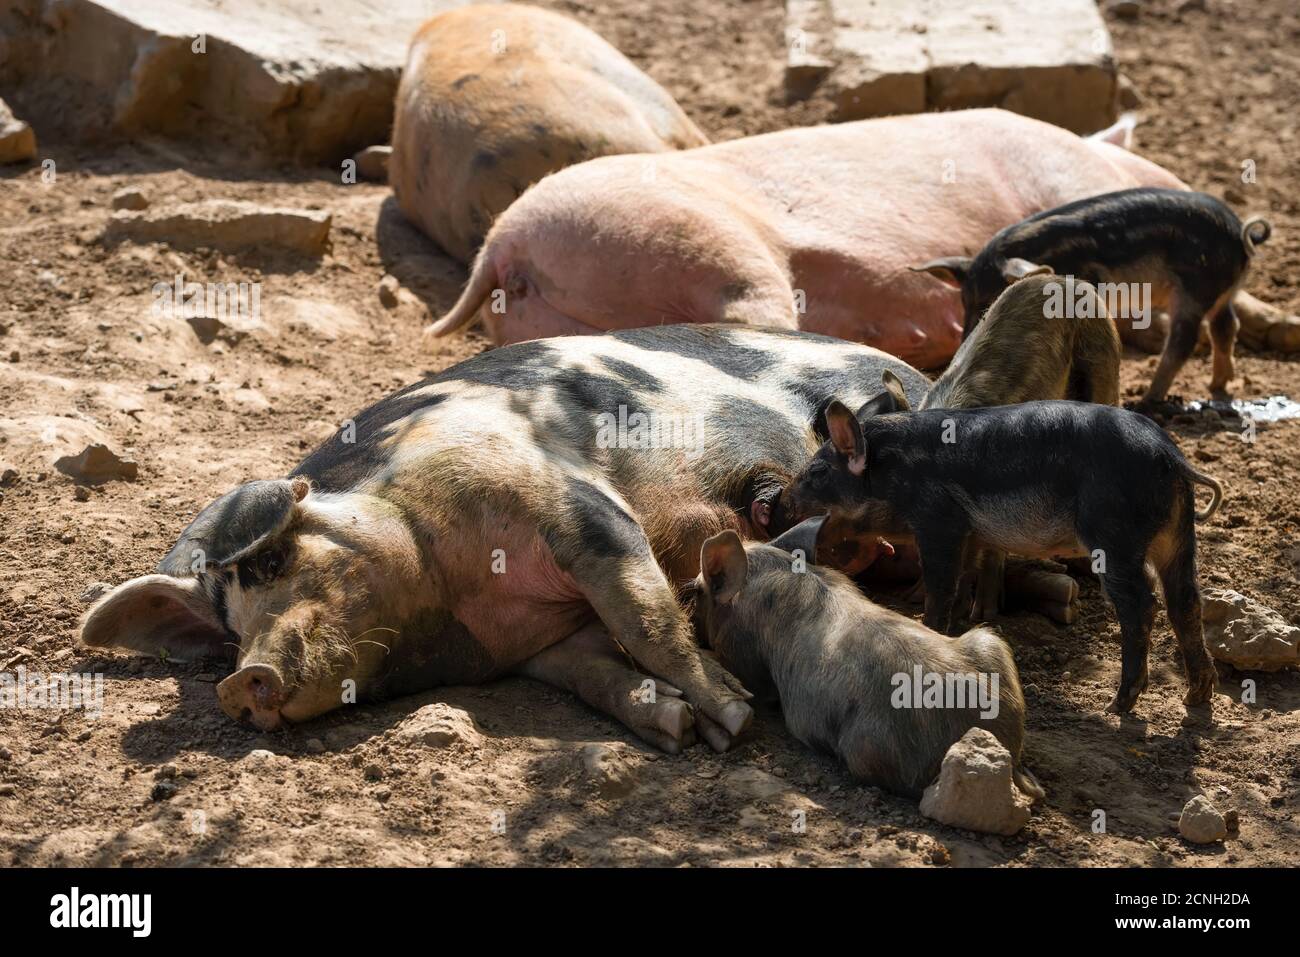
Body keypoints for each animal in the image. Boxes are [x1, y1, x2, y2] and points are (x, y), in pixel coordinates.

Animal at [78, 325, 931, 752]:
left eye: (276, 558)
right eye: (228, 630)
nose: (239, 680)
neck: (454, 599)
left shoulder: (576, 507)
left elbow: (646, 620)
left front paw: (731, 718)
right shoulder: (534, 645)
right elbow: (597, 672)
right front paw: (676, 727)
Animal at [785, 399, 1225, 714]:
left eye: (818, 473)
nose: (783, 501)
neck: (889, 474)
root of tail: (1169, 454)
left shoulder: (939, 520)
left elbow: (941, 585)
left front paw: (930, 627)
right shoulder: (969, 535)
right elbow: (962, 579)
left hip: (1114, 534)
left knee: (1142, 605)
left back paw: (1116, 707)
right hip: (1178, 535)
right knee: (1186, 600)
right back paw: (1196, 699)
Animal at [914, 188, 1273, 405]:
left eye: (991, 298)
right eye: (964, 302)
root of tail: (1241, 235)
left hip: (1194, 291)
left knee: (1185, 340)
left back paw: (1147, 400)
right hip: (1222, 293)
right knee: (1226, 327)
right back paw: (1218, 386)